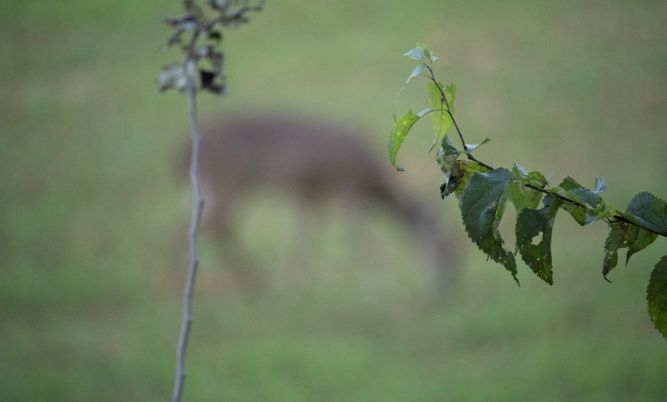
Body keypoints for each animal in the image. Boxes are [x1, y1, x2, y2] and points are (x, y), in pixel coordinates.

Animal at [184, 114, 460, 294]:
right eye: (444, 250)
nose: (448, 291)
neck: (371, 184)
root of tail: (181, 154)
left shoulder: (312, 198)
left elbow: (304, 239)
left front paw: (298, 283)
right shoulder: (348, 191)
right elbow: (358, 240)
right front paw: (378, 284)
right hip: (228, 183)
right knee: (196, 232)